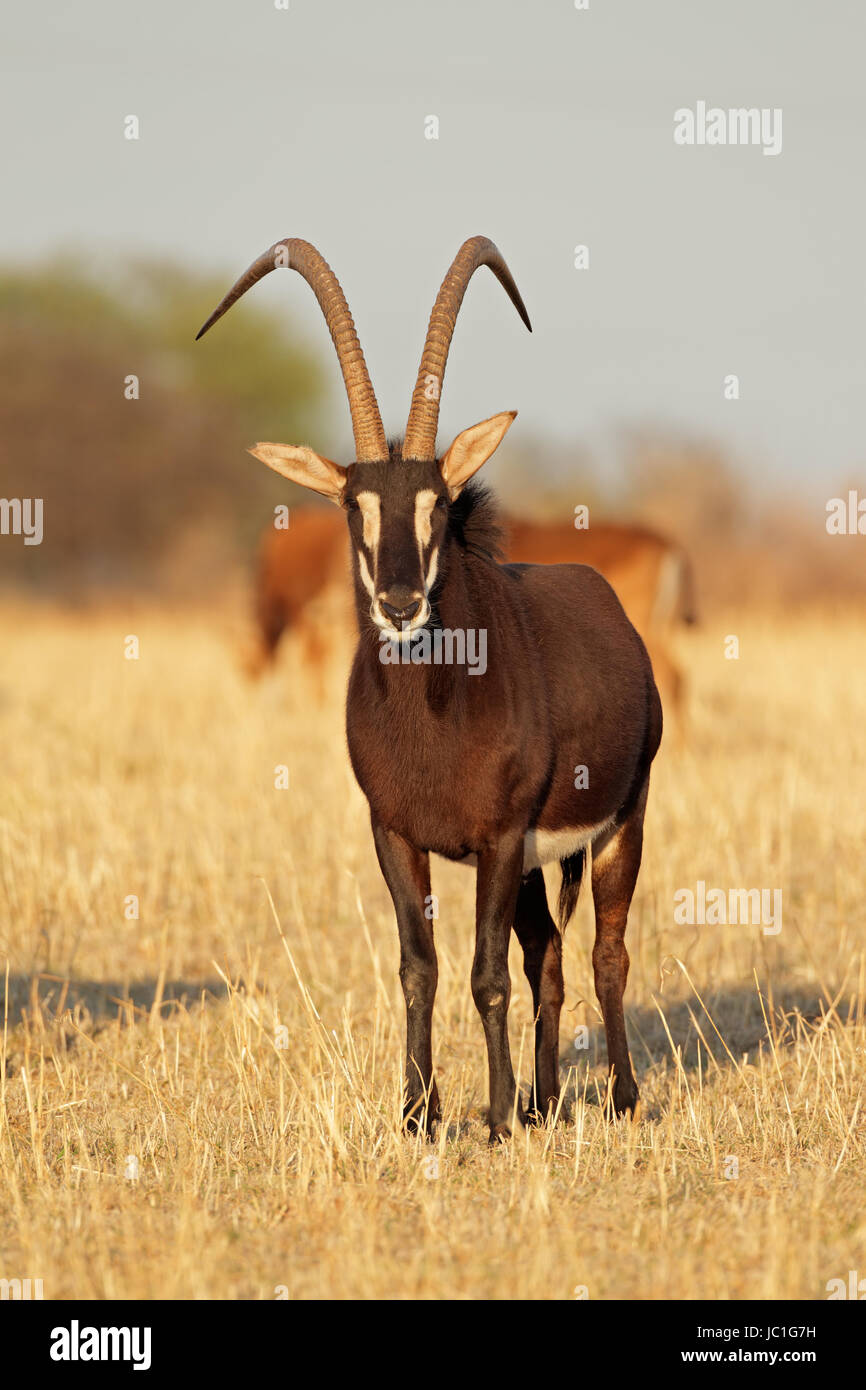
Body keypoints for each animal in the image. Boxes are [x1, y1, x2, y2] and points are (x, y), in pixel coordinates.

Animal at [197, 236, 662, 1141]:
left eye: (438, 502)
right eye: (354, 505)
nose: (401, 603)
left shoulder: (498, 839)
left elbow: (485, 973)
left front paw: (494, 1117)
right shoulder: (396, 834)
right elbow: (420, 965)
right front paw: (419, 1112)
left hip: (619, 823)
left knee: (605, 951)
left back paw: (619, 1097)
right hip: (536, 863)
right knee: (549, 954)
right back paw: (546, 1098)